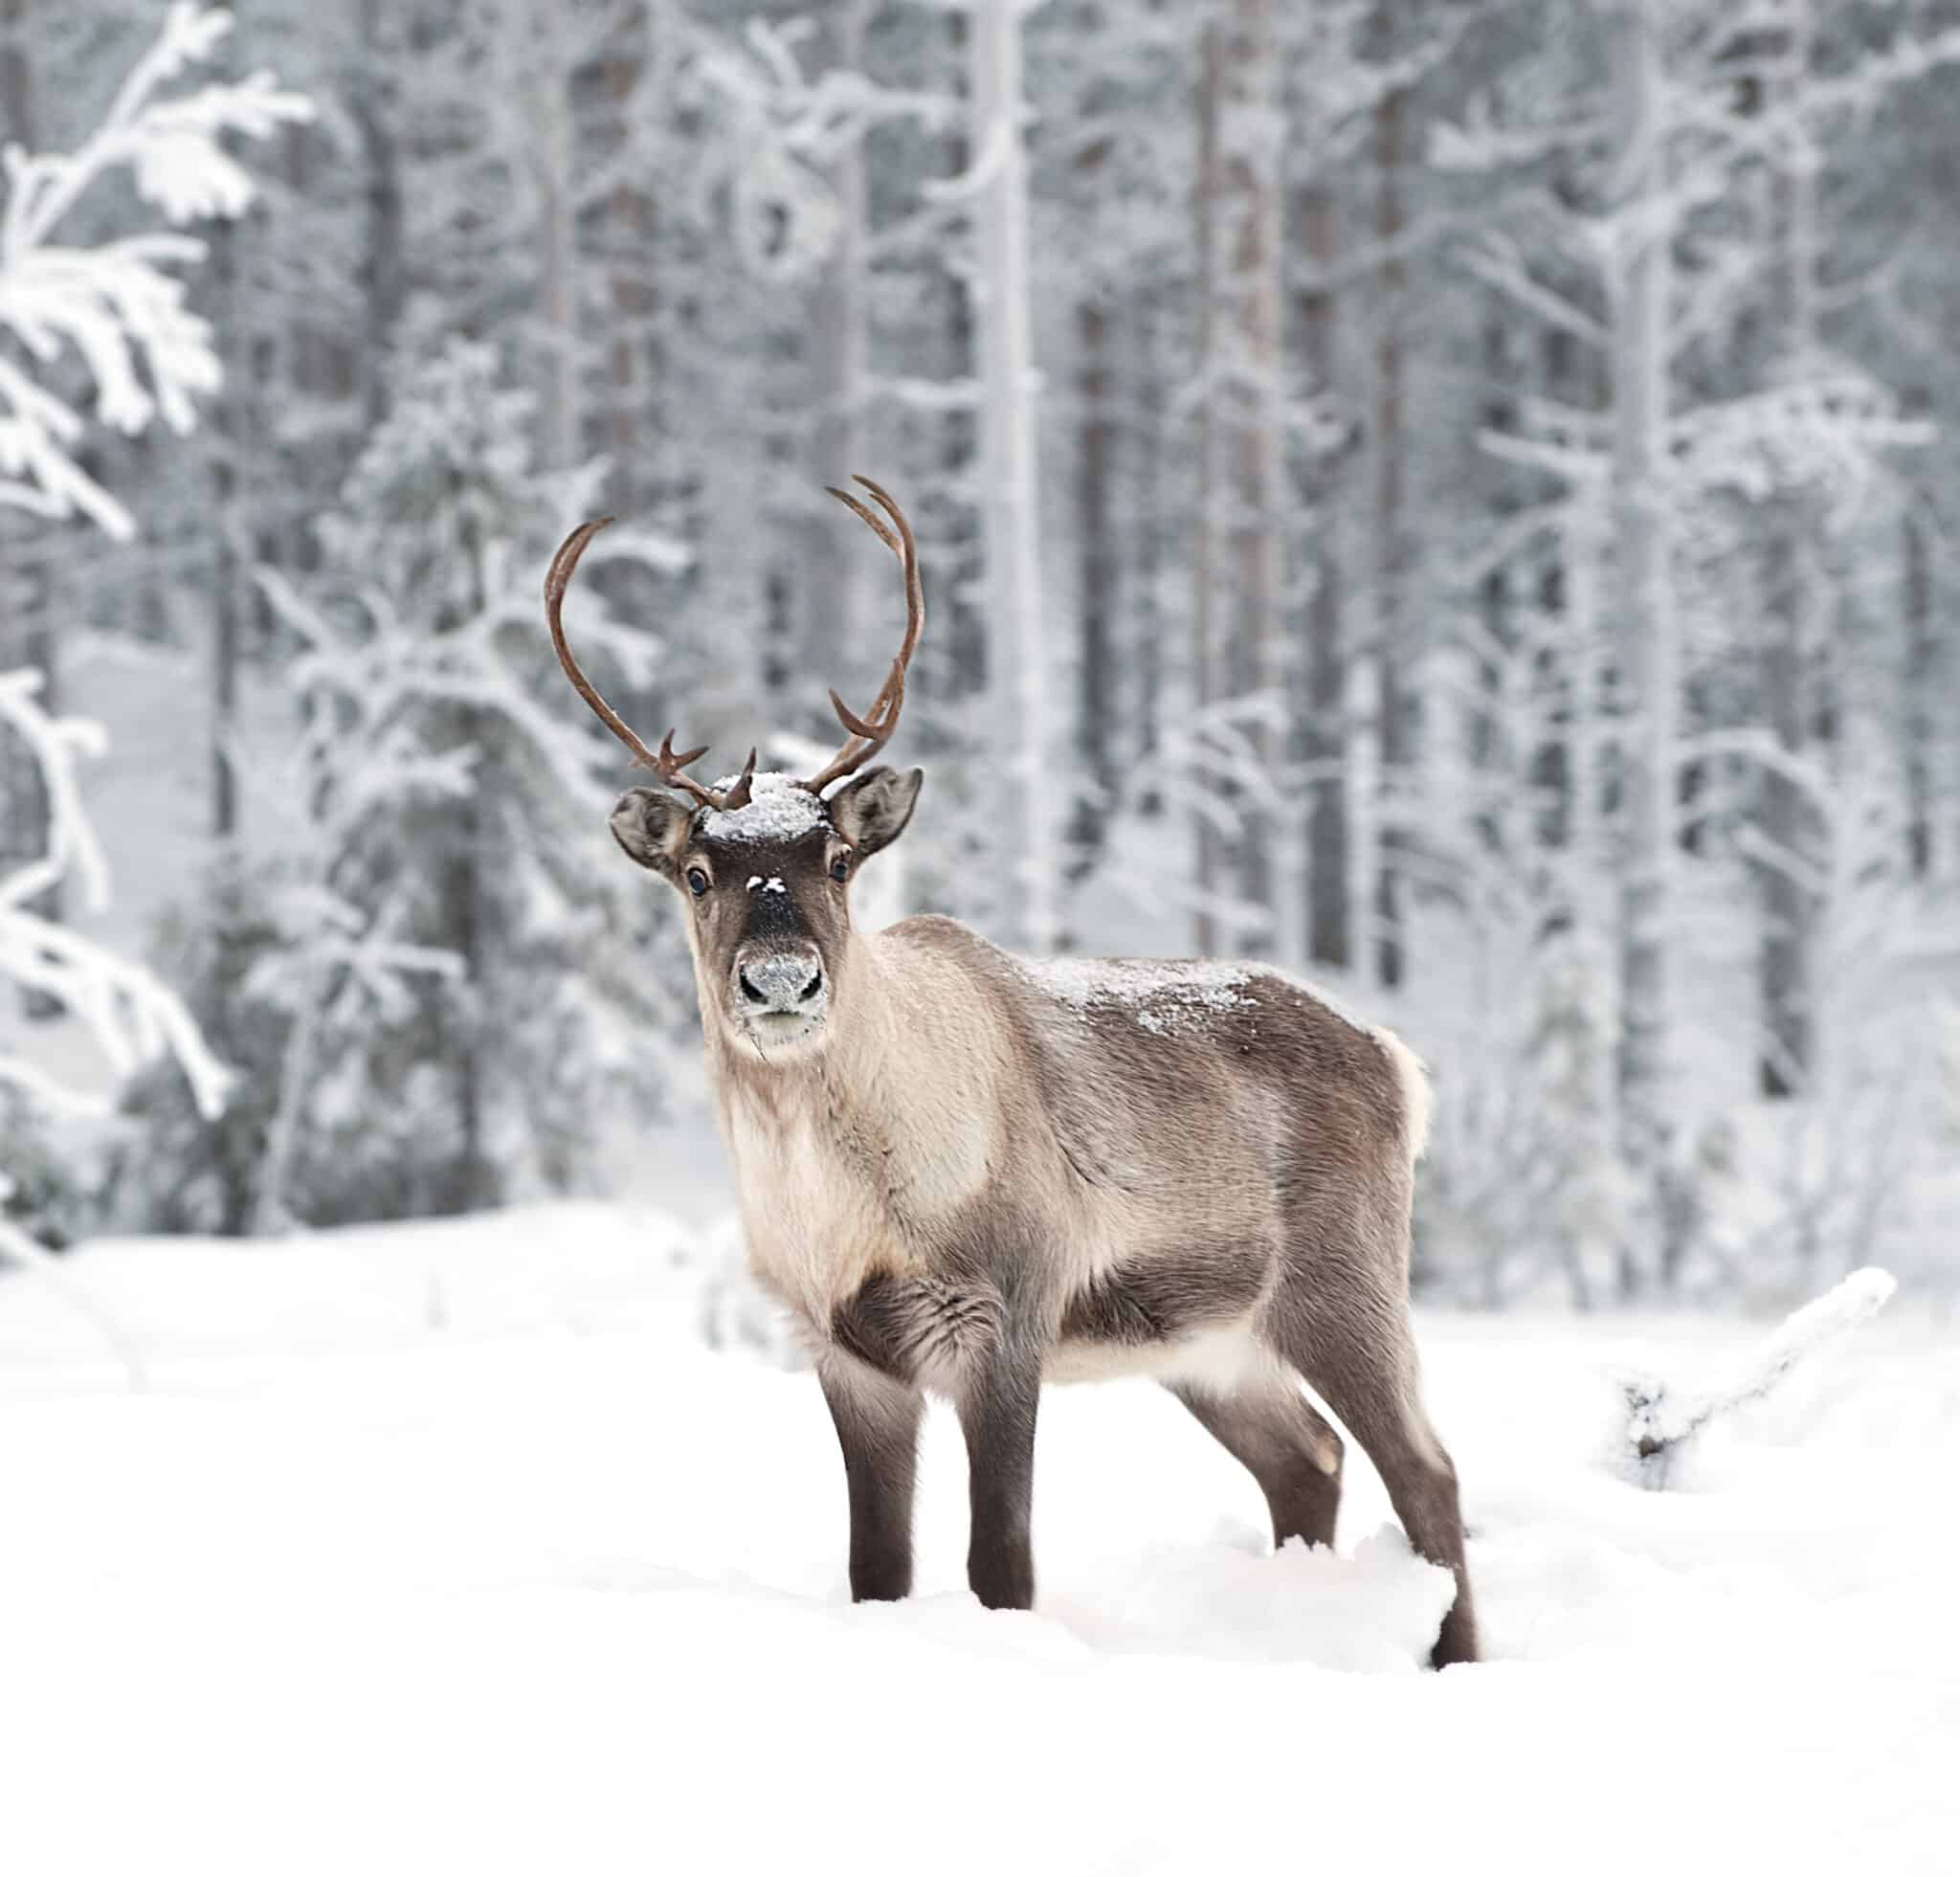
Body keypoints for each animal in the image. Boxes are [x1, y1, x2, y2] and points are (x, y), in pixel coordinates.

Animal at [545, 476, 1480, 1667]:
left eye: (837, 861)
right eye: (698, 872)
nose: (780, 981)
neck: (842, 1203)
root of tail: (1393, 1059)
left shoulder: (1002, 1317)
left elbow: (1001, 1564)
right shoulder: (845, 1352)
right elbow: (875, 1570)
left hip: (1341, 1282)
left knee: (1425, 1469)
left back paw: (1447, 1653)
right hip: (1209, 1342)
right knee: (1307, 1459)